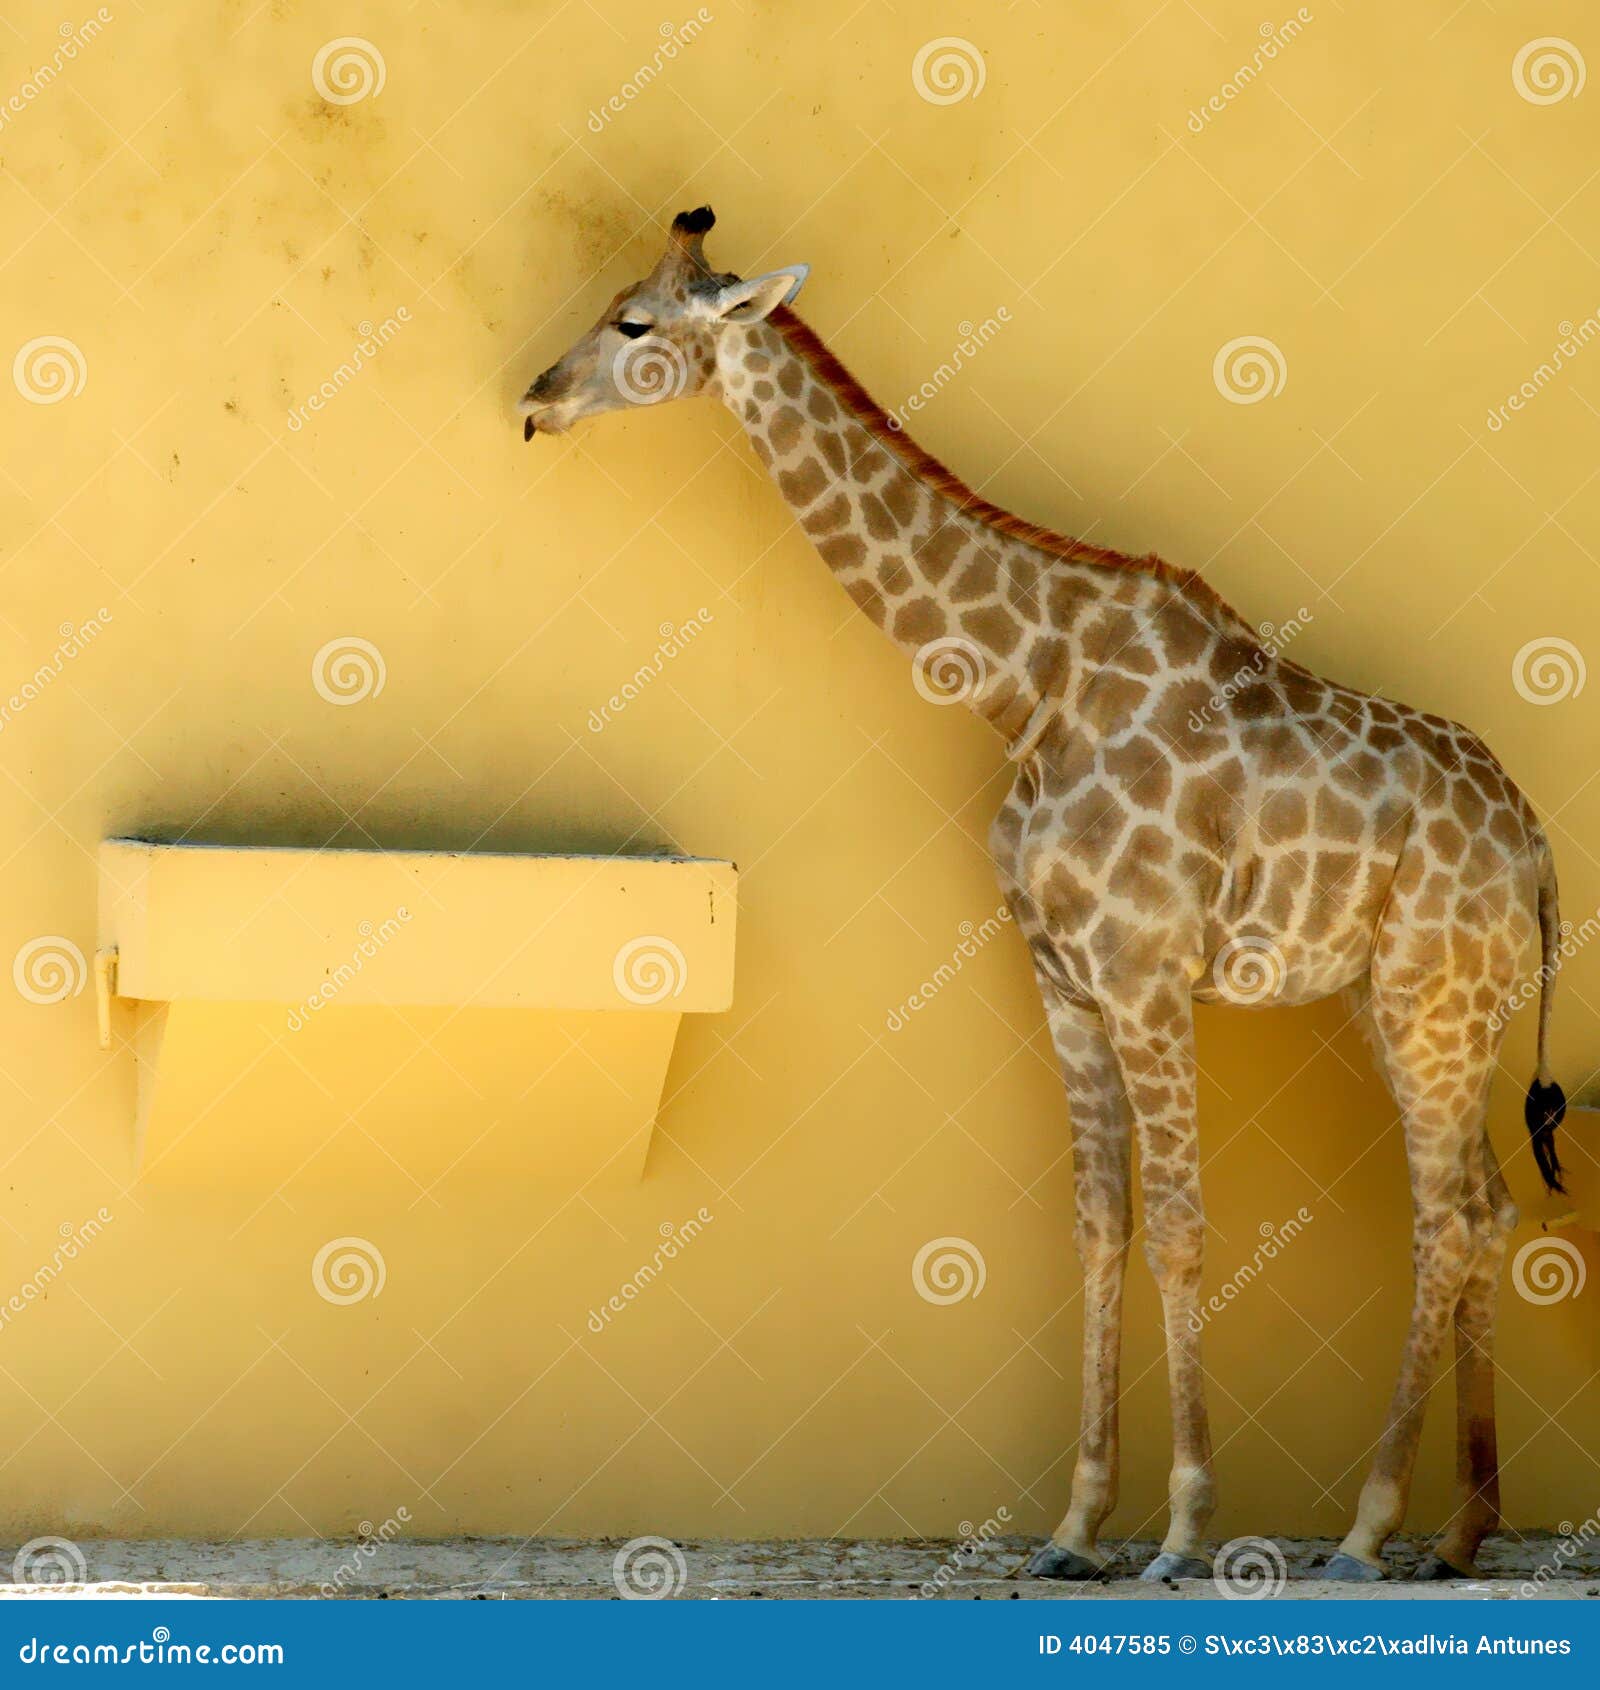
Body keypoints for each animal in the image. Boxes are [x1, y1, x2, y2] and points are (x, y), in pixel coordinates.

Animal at [517, 207, 1570, 1583]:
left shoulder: (1144, 970)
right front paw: (1073, 1528)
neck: (1026, 686)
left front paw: (1182, 1531)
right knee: (1485, 1210)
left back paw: (1366, 1528)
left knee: (1443, 1220)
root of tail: (1537, 848)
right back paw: (1460, 1527)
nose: (535, 400)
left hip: (1429, 1002)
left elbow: (1177, 1225)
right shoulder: (1062, 977)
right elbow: (1096, 1223)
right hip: (1417, 1003)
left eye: (634, 322)